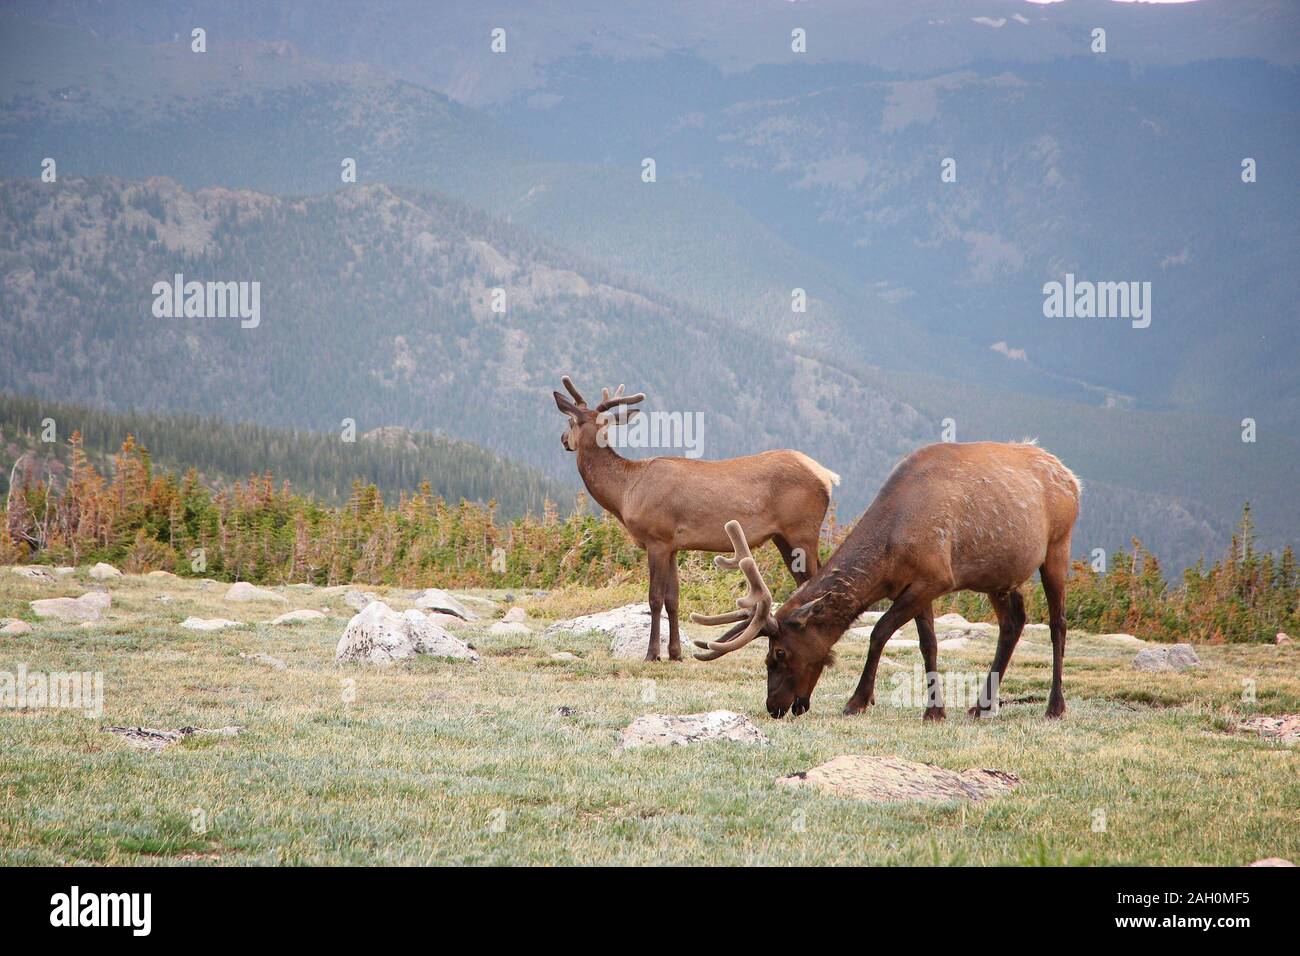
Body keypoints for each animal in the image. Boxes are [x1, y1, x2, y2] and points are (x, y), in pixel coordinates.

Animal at [553, 375, 840, 662]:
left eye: (569, 421)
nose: (564, 439)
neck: (625, 492)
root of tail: (827, 475)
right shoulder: (672, 545)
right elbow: (673, 599)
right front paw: (675, 653)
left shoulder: (656, 538)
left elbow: (654, 598)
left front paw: (652, 654)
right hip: (783, 537)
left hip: (802, 530)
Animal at [690, 440, 1081, 721]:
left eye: (779, 653)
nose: (774, 707)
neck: (891, 548)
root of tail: (1070, 477)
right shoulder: (920, 585)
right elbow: (928, 644)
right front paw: (935, 710)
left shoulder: (934, 577)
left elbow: (879, 632)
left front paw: (858, 701)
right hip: (1000, 575)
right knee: (1014, 622)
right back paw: (981, 705)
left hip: (1058, 545)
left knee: (1058, 624)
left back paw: (1055, 707)